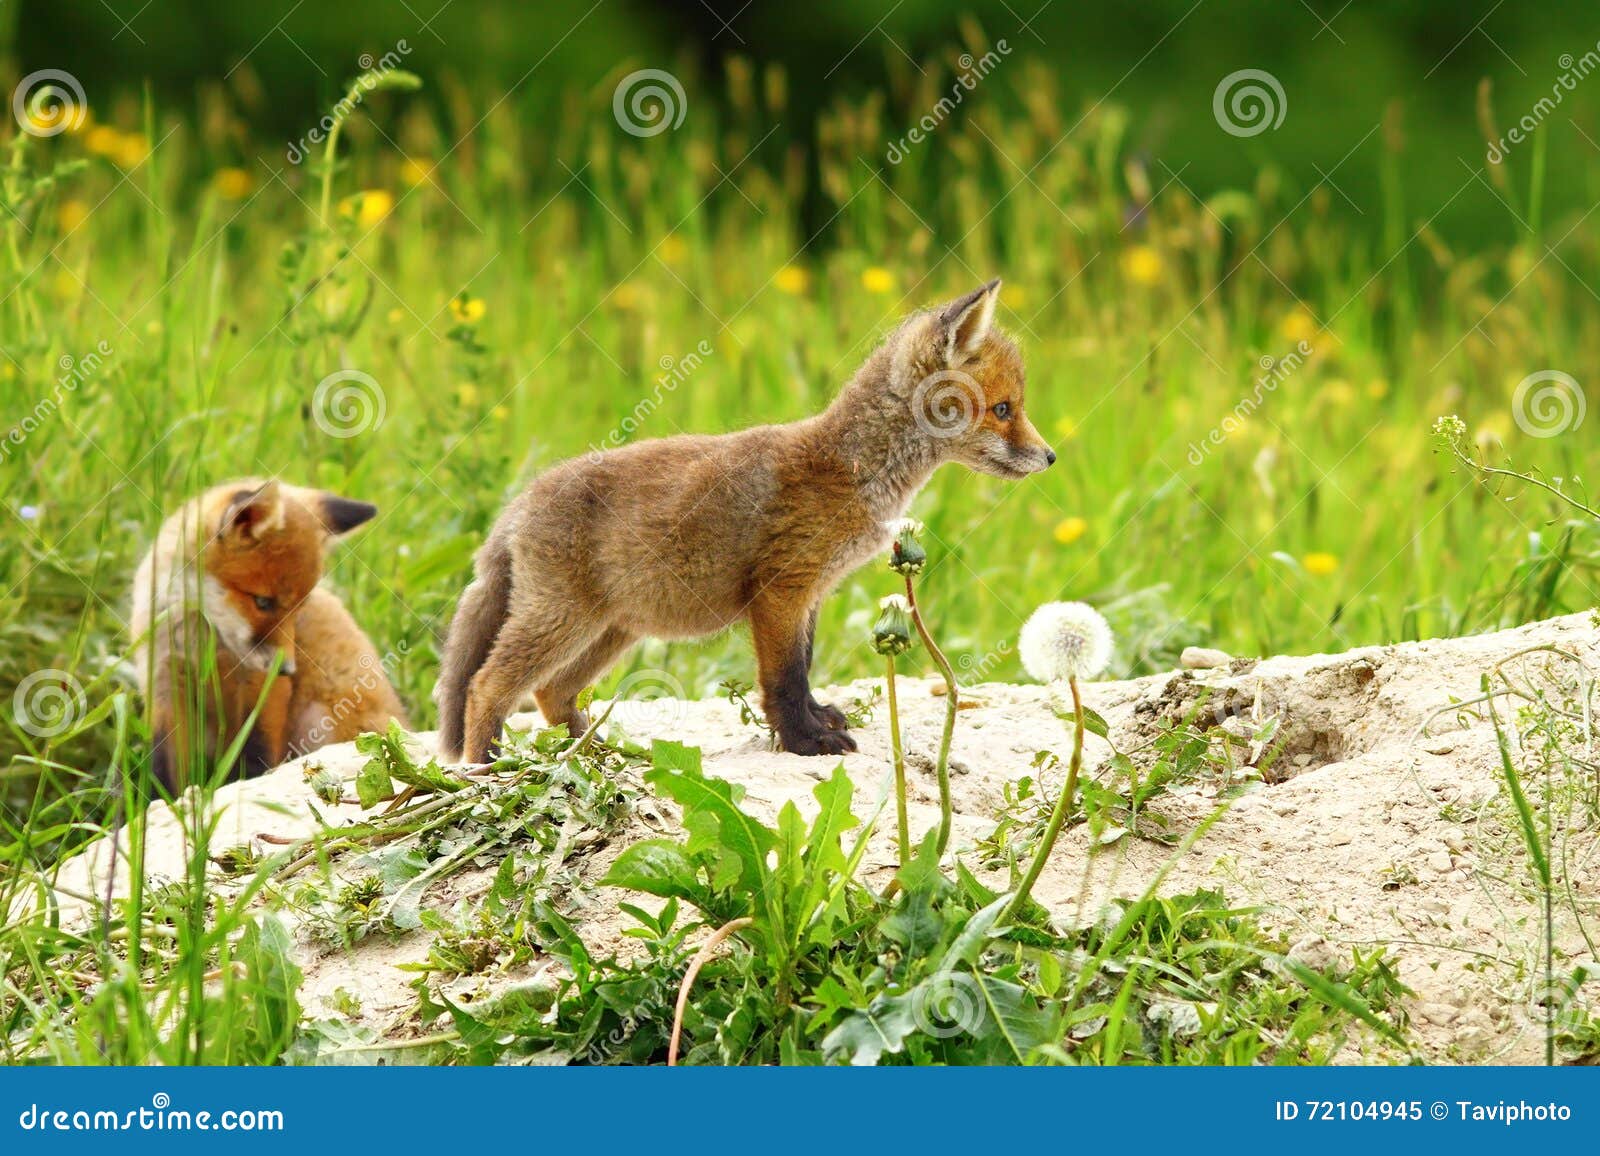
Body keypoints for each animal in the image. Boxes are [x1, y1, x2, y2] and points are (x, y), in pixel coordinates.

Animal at [131, 479, 408, 791]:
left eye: (299, 608)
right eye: (263, 602)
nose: (287, 669)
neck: (207, 646)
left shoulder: (264, 691)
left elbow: (256, 754)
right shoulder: (164, 684)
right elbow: (161, 769)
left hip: (320, 718)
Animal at [436, 278, 1053, 763]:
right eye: (1003, 409)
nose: (1050, 458)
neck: (853, 468)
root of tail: (518, 504)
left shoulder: (809, 594)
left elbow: (804, 670)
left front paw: (817, 722)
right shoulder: (780, 589)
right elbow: (783, 679)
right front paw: (804, 742)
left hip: (611, 630)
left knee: (551, 695)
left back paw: (593, 755)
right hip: (563, 620)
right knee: (486, 686)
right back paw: (490, 766)